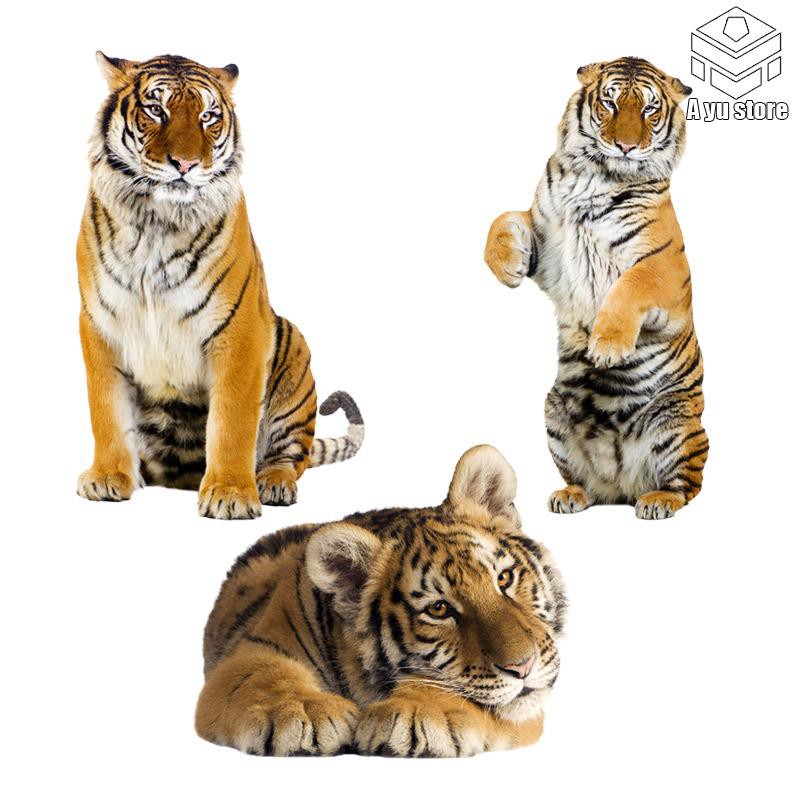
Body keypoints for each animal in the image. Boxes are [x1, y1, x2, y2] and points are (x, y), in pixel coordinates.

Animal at [76, 53, 364, 519]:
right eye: (156, 110)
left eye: (208, 116)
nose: (186, 164)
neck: (157, 221)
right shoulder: (100, 325)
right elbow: (107, 412)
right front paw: (108, 477)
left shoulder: (240, 330)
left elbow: (232, 421)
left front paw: (230, 492)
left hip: (292, 349)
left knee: (292, 455)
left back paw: (272, 483)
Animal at [195, 445, 566, 757]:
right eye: (438, 609)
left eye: (504, 579)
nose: (523, 667)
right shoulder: (251, 650)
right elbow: (263, 676)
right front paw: (302, 711)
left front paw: (414, 712)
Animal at [484, 57, 709, 520]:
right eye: (610, 102)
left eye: (649, 109)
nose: (625, 146)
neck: (598, 176)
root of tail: (624, 485)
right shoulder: (547, 243)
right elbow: (503, 220)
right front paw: (507, 266)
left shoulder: (666, 270)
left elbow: (631, 285)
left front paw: (607, 347)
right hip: (553, 411)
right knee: (586, 483)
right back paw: (570, 495)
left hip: (678, 423)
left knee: (687, 487)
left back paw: (658, 501)